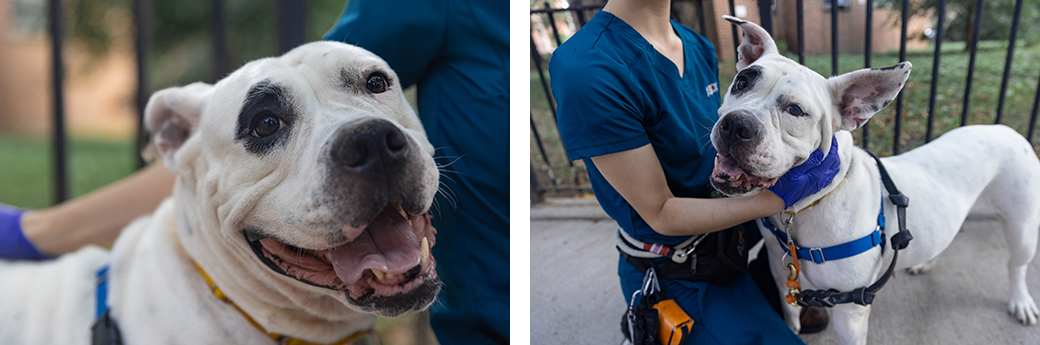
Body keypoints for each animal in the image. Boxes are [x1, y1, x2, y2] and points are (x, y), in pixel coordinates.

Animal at [711, 15, 1040, 345]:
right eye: (742, 82)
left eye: (795, 110)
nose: (737, 125)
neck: (806, 206)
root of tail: (1006, 129)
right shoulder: (782, 280)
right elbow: (790, 317)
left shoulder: (849, 311)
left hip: (1022, 228)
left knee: (1016, 266)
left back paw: (1021, 301)